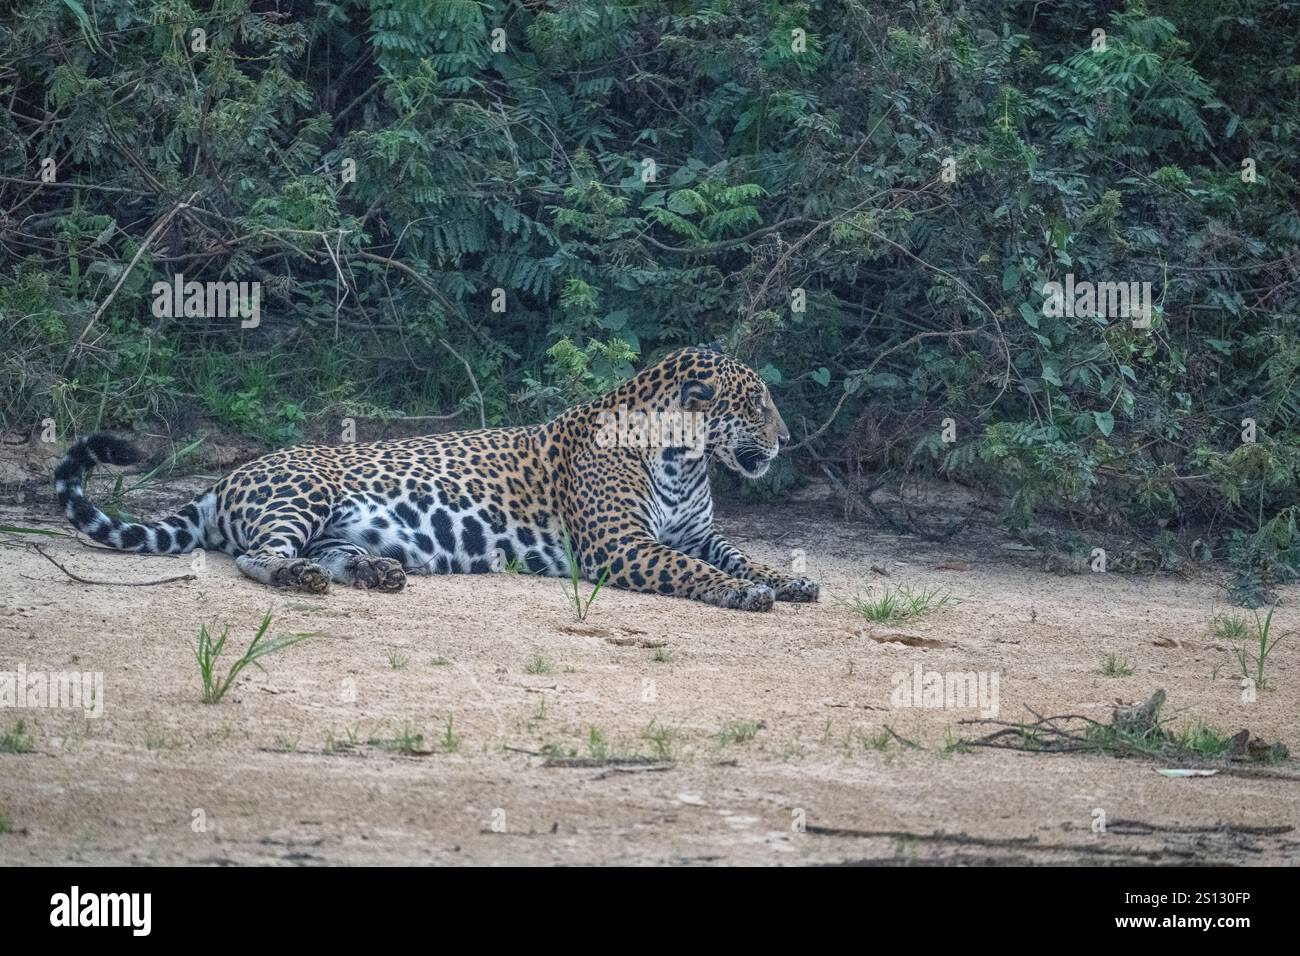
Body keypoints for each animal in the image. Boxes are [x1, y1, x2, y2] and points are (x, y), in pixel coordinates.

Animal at [54, 345, 820, 611]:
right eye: (757, 403)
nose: (786, 438)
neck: (683, 458)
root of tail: (228, 478)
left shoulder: (696, 531)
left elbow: (737, 552)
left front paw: (787, 580)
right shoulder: (620, 545)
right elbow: (693, 570)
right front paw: (744, 593)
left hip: (334, 522)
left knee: (330, 552)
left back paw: (375, 572)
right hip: (304, 493)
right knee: (257, 557)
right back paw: (305, 578)